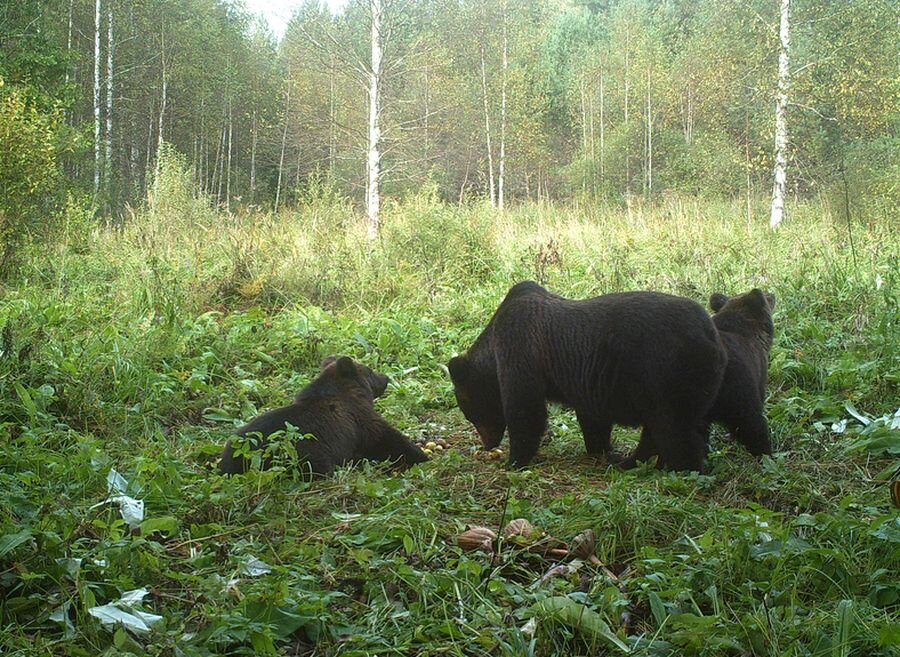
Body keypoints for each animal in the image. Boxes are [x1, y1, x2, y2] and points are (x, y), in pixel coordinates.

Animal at [219, 356, 428, 474]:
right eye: (369, 370)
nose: (386, 377)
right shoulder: (360, 420)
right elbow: (386, 436)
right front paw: (419, 454)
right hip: (299, 454)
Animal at [446, 282, 728, 472]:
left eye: (470, 412)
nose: (488, 443)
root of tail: (710, 333)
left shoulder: (522, 347)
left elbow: (525, 408)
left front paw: (514, 460)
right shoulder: (589, 382)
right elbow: (593, 419)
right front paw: (599, 448)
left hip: (665, 371)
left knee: (673, 427)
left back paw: (682, 468)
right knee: (665, 426)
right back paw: (630, 461)